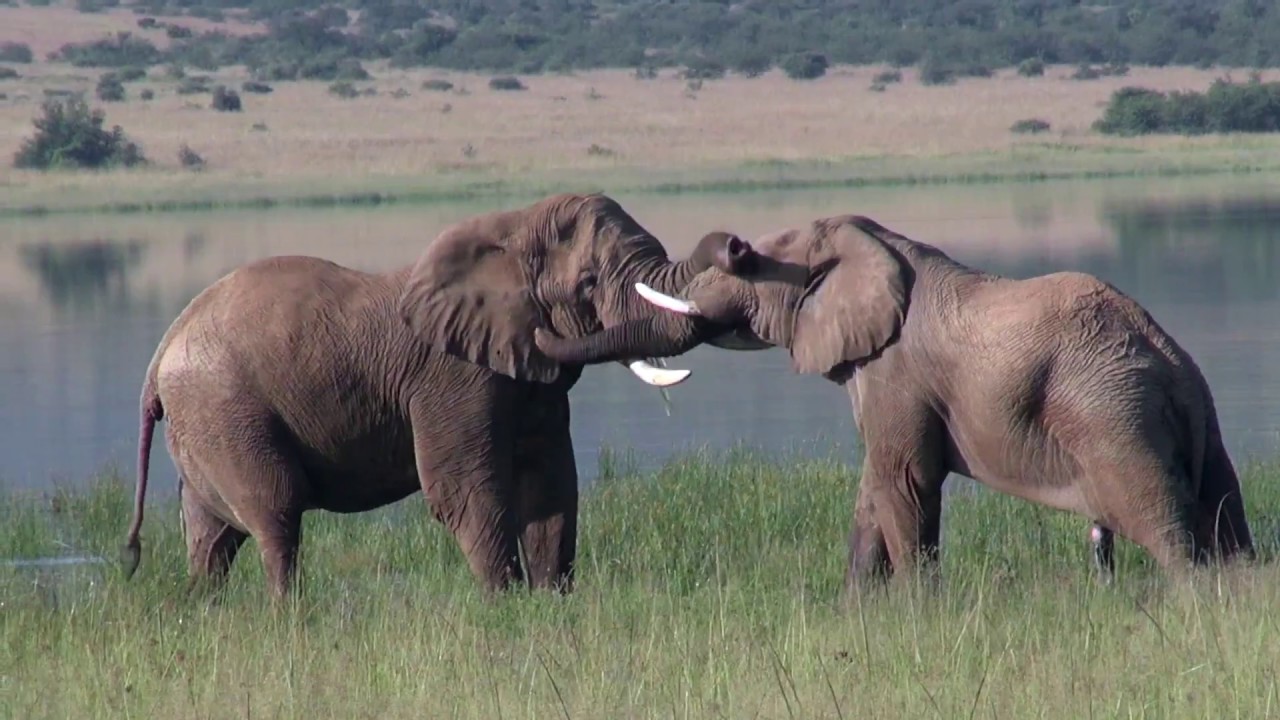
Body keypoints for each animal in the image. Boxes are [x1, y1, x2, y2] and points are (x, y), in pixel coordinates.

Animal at [121, 192, 723, 599]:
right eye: (590, 282)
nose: (732, 246)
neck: (514, 228)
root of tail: (159, 356)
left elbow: (550, 484)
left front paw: (550, 602)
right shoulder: (453, 377)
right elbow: (464, 490)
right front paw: (504, 604)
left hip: (203, 425)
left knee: (210, 536)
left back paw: (203, 611)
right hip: (225, 411)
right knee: (275, 515)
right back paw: (287, 615)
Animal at [533, 217, 1256, 595]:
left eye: (746, 263)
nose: (541, 331)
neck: (870, 241)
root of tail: (1168, 366)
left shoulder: (897, 371)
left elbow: (905, 480)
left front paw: (916, 609)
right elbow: (873, 489)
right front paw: (856, 609)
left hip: (1111, 416)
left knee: (1162, 525)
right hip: (1191, 414)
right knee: (1223, 510)